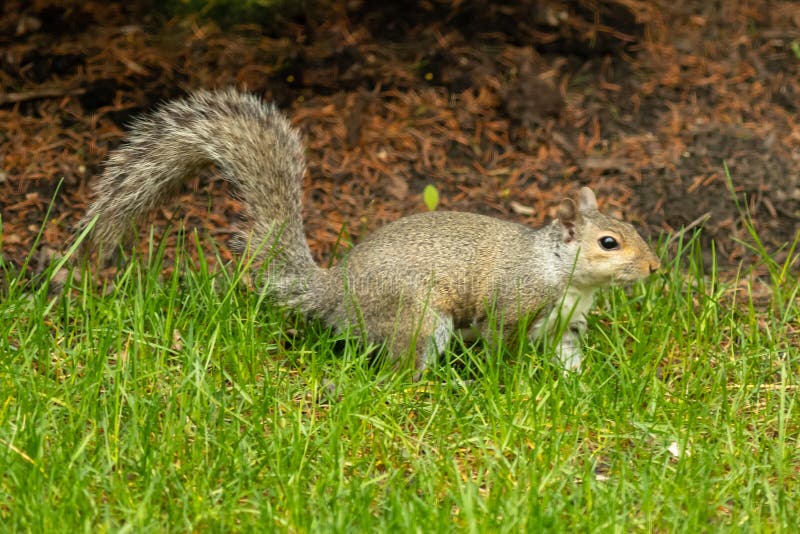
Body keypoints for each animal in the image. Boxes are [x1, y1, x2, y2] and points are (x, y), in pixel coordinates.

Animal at [79, 88, 661, 379]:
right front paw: (508, 382)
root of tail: (336, 291)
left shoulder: (568, 324)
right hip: (419, 317)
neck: (562, 274)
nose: (655, 267)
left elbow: (567, 353)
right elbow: (500, 344)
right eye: (609, 243)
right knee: (402, 369)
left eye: (632, 226)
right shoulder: (513, 302)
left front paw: (578, 383)